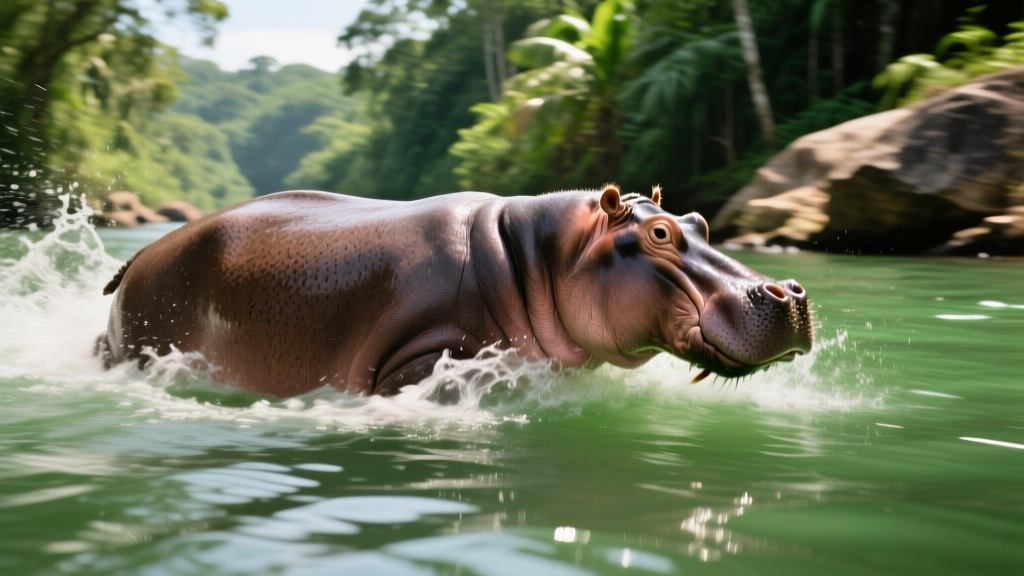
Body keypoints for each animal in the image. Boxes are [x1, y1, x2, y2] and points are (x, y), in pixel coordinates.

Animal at [98, 186, 813, 396]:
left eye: (701, 222)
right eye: (659, 233)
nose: (788, 290)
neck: (536, 256)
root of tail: (136, 258)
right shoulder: (419, 357)